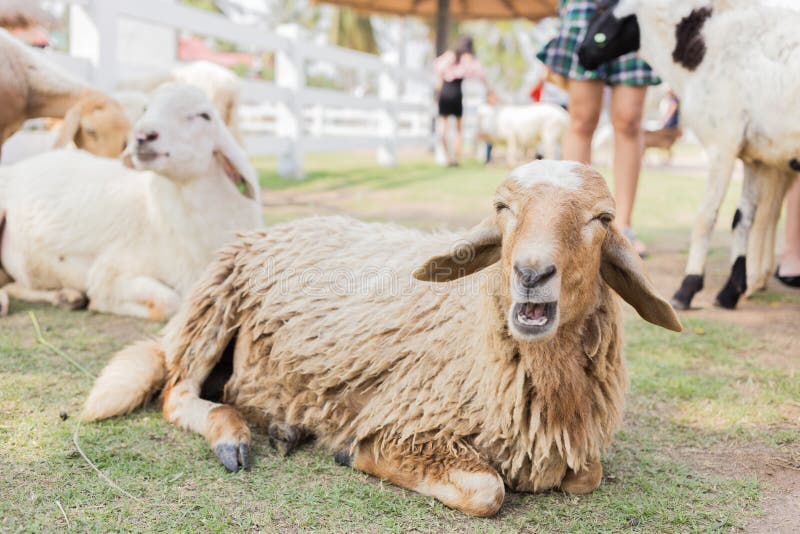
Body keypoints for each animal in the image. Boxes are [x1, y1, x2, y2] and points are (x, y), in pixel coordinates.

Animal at [0, 83, 262, 319]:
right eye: (146, 108)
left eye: (204, 115)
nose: (143, 136)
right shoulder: (111, 271)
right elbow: (168, 303)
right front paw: (100, 302)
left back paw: (65, 296)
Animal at [82, 160, 681, 517]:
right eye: (502, 208)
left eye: (602, 218)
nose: (532, 273)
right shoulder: (404, 421)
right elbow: (487, 491)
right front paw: (353, 454)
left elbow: (589, 476)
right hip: (213, 306)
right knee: (177, 392)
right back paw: (233, 435)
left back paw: (284, 428)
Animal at [577, 0, 800, 309]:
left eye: (600, 34)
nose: (581, 55)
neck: (704, 45)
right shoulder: (753, 156)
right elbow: (742, 219)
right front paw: (730, 292)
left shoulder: (722, 145)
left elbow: (705, 218)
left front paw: (688, 288)